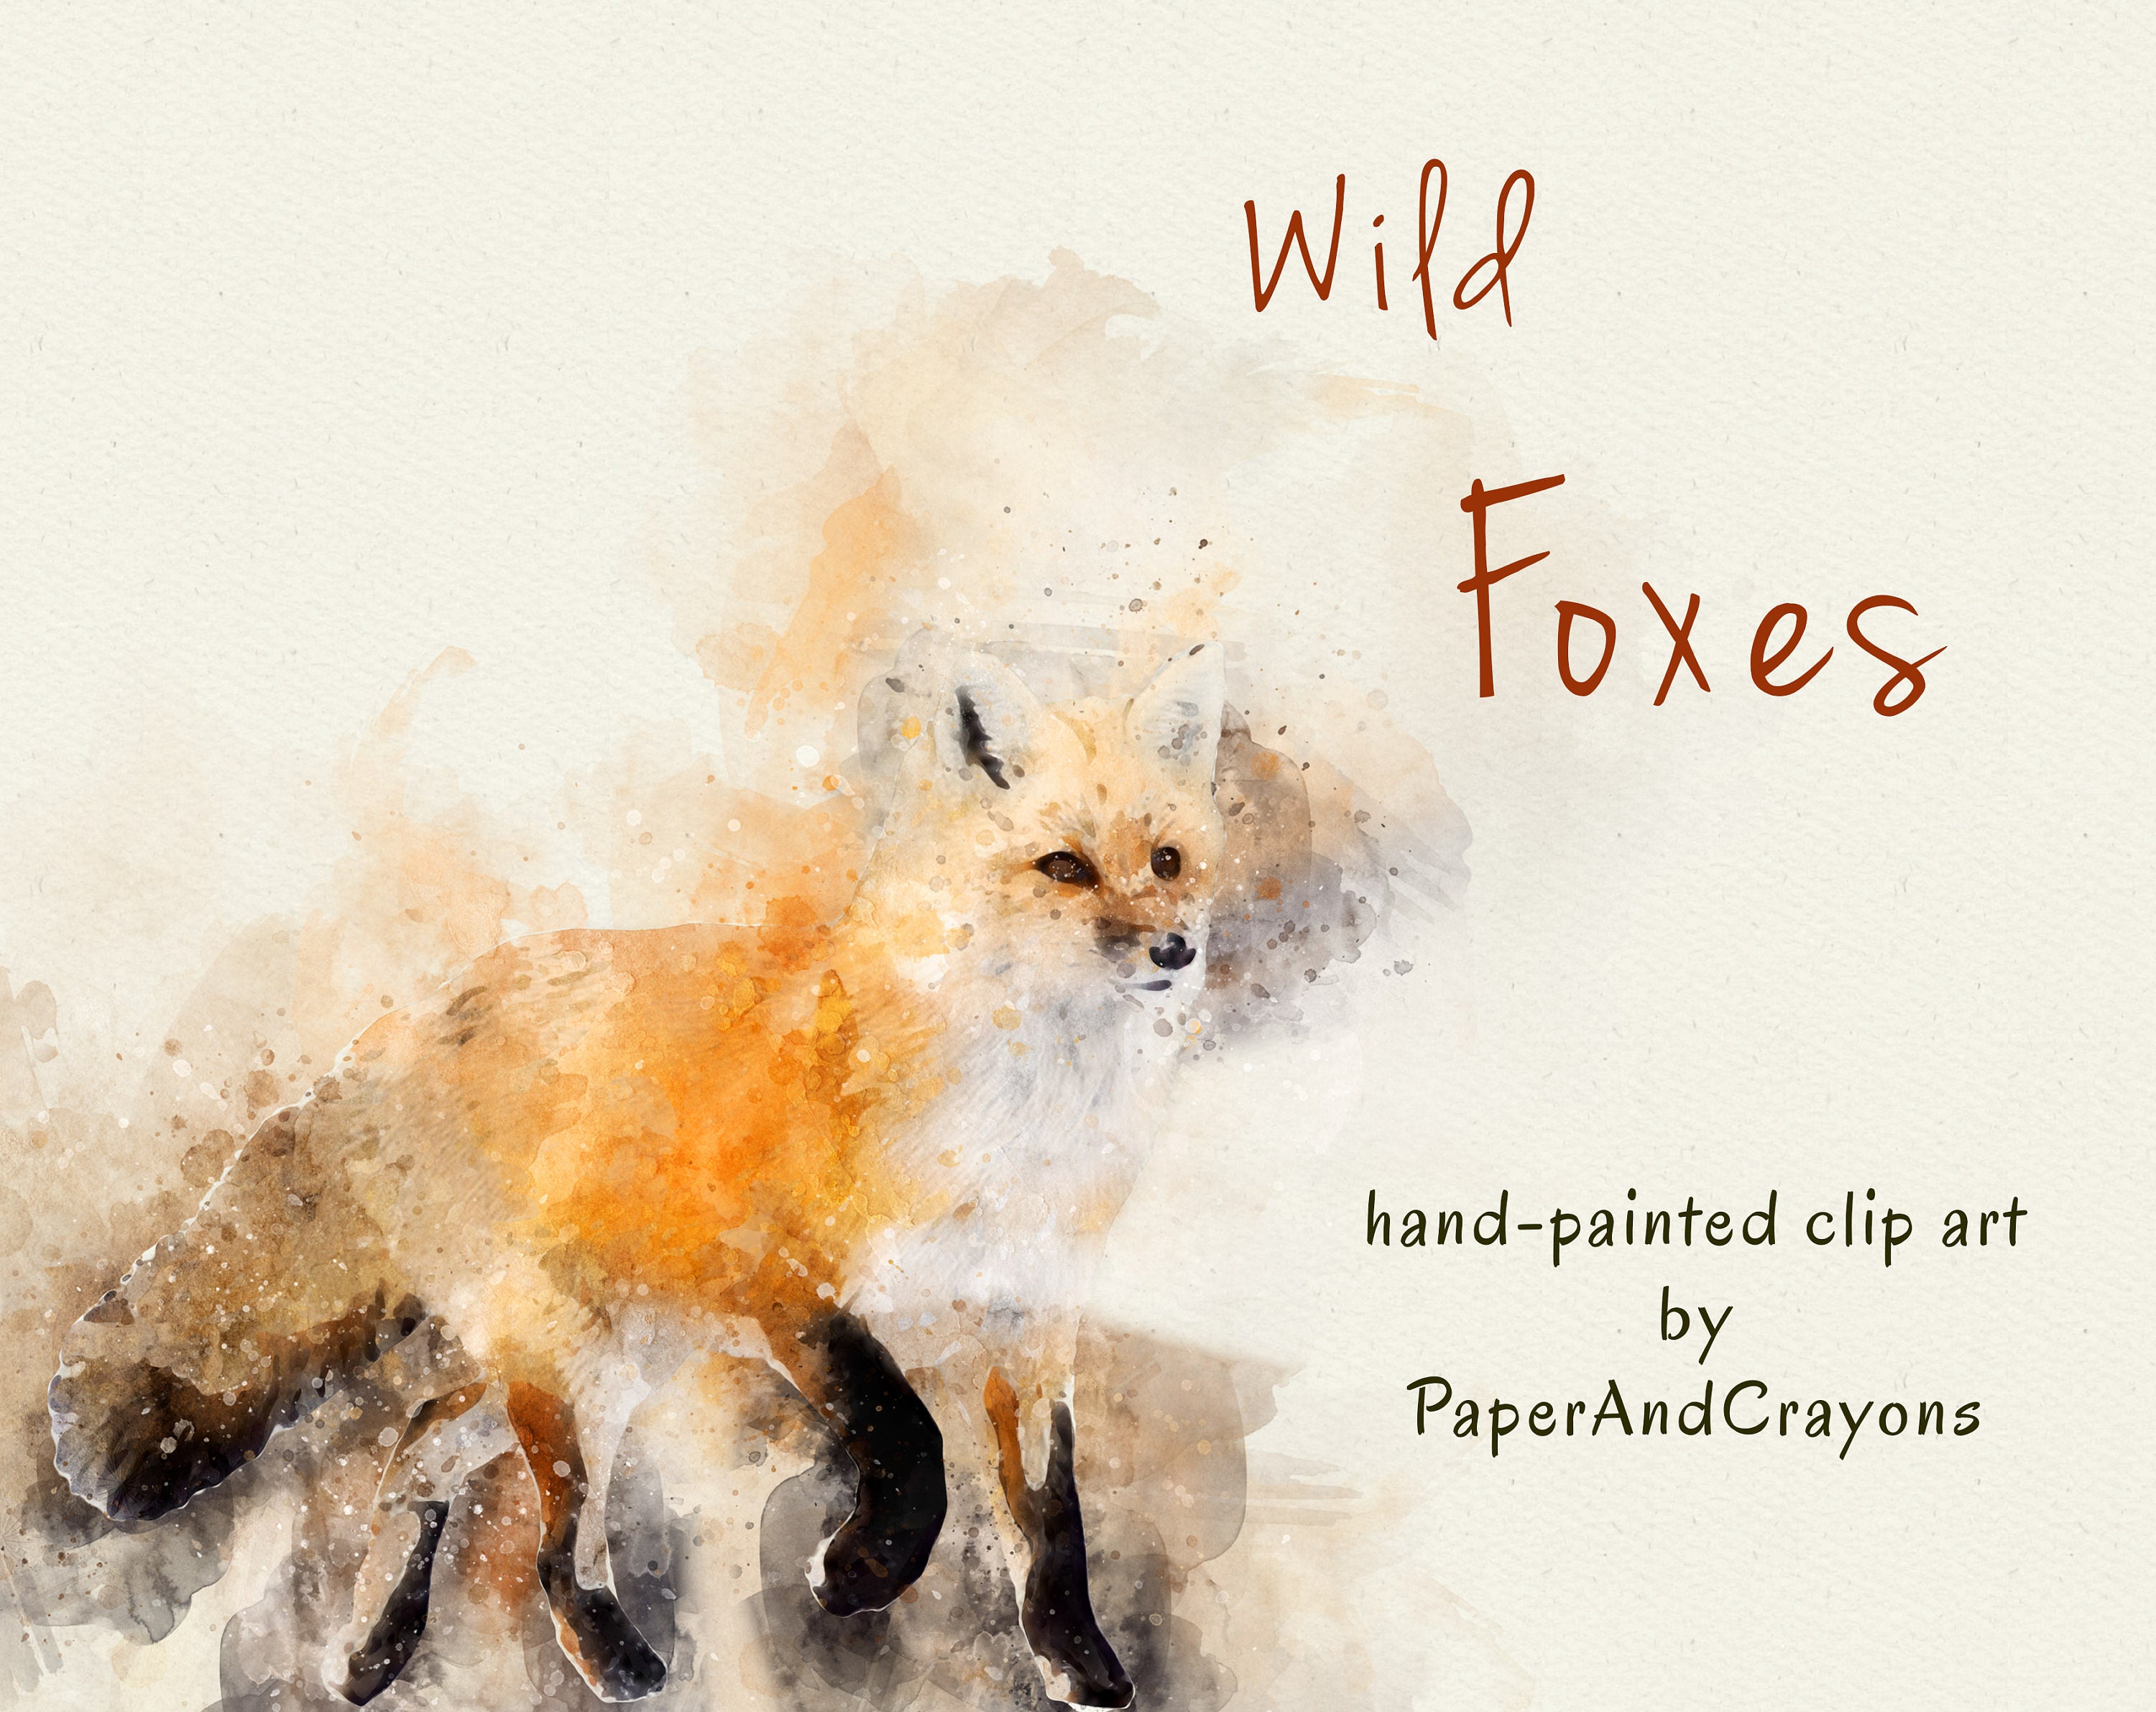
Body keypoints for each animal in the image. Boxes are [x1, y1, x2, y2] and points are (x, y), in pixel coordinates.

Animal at [48, 641, 1230, 1708]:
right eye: (1065, 867)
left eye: (1169, 860)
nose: (1174, 952)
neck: (1011, 1126)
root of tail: (394, 1031)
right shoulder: (790, 1284)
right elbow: (910, 1438)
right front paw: (857, 1572)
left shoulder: (1028, 1327)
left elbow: (1054, 1518)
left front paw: (1081, 1665)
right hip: (577, 1367)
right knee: (550, 1545)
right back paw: (616, 1663)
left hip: (591, 1359)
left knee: (418, 1439)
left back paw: (370, 1648)